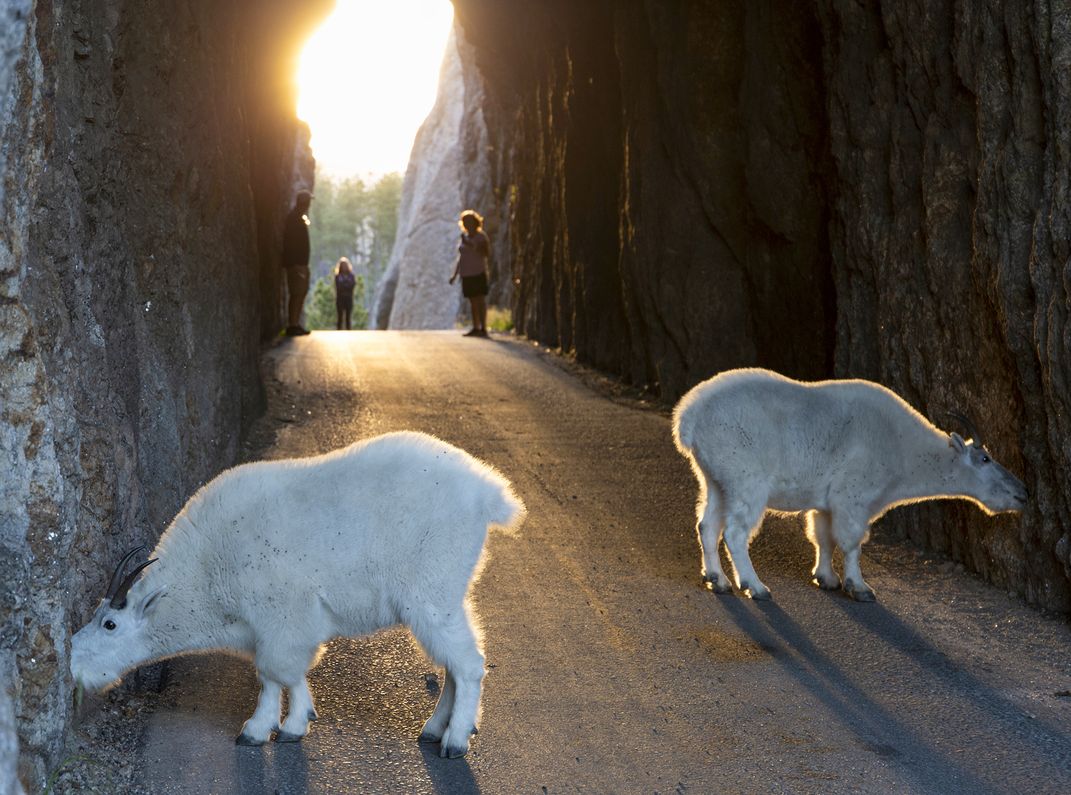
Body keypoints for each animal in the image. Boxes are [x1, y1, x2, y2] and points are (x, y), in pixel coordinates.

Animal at [70, 431, 526, 757]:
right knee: (454, 663)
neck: (204, 571)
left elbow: (275, 672)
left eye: (110, 624)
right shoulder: (266, 628)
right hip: (448, 595)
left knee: (468, 664)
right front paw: (288, 723)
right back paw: (435, 729)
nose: (73, 662)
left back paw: (455, 741)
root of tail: (488, 495)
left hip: (430, 593)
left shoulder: (282, 617)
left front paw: (264, 729)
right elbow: (280, 677)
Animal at [672, 368, 1027, 601]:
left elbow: (823, 538)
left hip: (715, 479)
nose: (1022, 493)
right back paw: (754, 586)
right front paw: (859, 587)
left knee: (707, 524)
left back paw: (716, 580)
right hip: (745, 479)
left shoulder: (827, 503)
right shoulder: (853, 498)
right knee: (734, 532)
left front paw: (826, 578)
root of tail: (689, 417)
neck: (903, 450)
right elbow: (852, 542)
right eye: (985, 459)